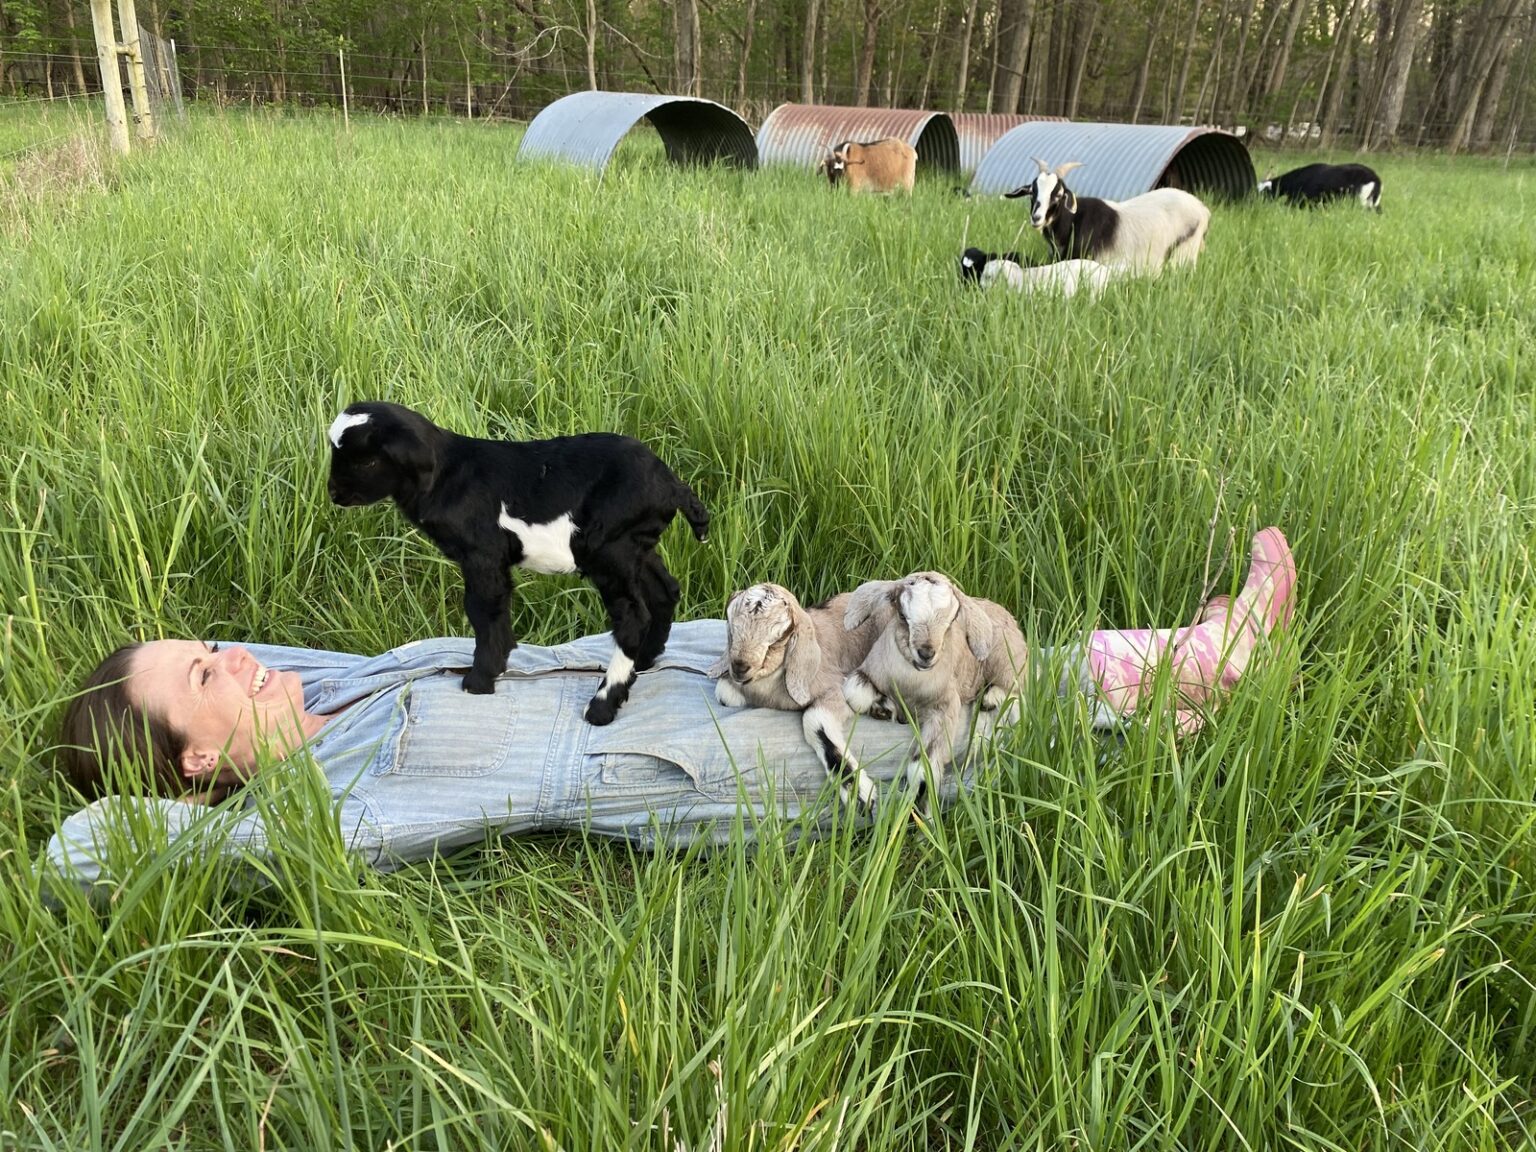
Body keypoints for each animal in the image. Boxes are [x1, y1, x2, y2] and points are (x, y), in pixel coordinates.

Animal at [327, 401, 709, 725]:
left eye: (365, 462)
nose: (333, 493)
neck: (447, 475)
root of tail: (672, 485)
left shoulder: (482, 553)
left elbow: (483, 611)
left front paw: (480, 679)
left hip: (609, 547)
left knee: (632, 617)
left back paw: (602, 705)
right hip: (636, 548)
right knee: (665, 592)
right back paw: (643, 661)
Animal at [706, 584, 887, 809]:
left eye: (780, 636)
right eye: (732, 628)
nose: (740, 667)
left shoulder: (835, 688)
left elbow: (814, 720)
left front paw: (858, 793)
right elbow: (725, 694)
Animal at [841, 572, 1029, 812]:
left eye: (951, 621)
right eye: (902, 615)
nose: (926, 653)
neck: (910, 684)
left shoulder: (945, 706)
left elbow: (923, 768)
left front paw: (923, 815)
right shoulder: (867, 671)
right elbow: (856, 693)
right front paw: (884, 709)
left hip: (1007, 661)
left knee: (1015, 690)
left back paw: (989, 697)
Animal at [1003, 158, 1211, 272]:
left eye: (1059, 194)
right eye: (1032, 192)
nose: (1037, 218)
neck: (1074, 221)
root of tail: (1202, 209)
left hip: (1184, 253)